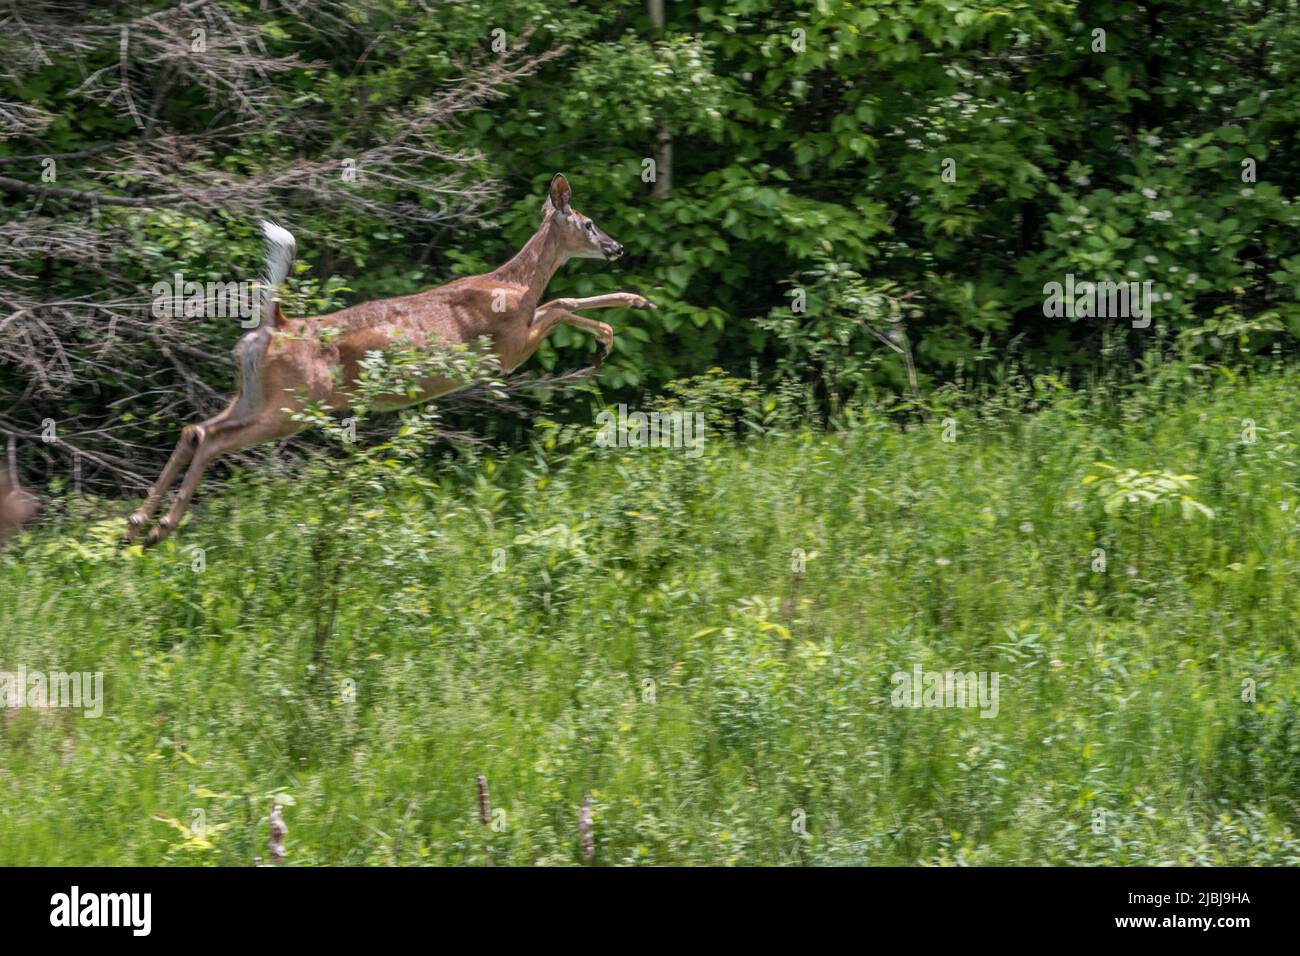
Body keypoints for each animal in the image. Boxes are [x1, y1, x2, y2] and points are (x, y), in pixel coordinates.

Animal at [122, 174, 653, 549]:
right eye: (588, 223)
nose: (617, 247)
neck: (515, 283)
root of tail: (277, 325)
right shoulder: (506, 348)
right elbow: (562, 301)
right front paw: (616, 329)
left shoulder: (515, 337)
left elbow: (561, 301)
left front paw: (625, 317)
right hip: (294, 404)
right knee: (213, 438)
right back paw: (160, 527)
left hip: (253, 393)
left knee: (194, 428)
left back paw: (135, 524)